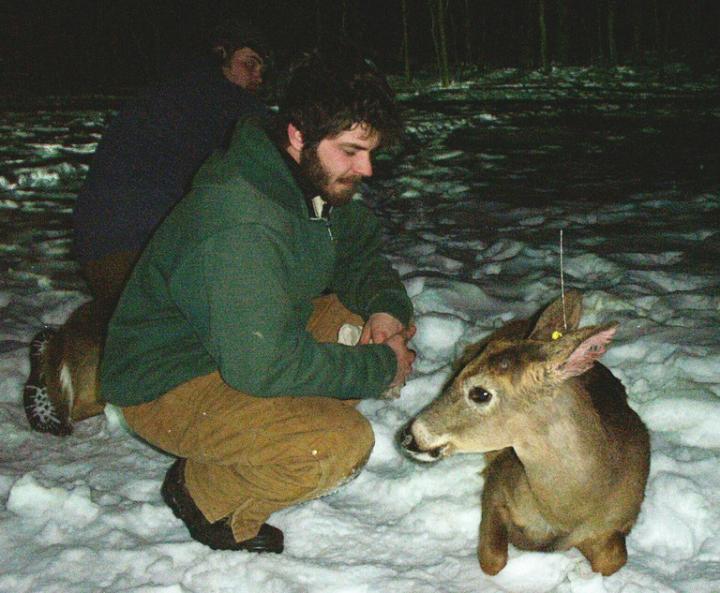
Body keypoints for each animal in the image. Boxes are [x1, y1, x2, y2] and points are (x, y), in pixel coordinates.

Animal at [400, 291, 650, 576]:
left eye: (480, 393)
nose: (408, 435)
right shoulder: (498, 481)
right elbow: (493, 559)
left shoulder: (618, 521)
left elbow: (613, 560)